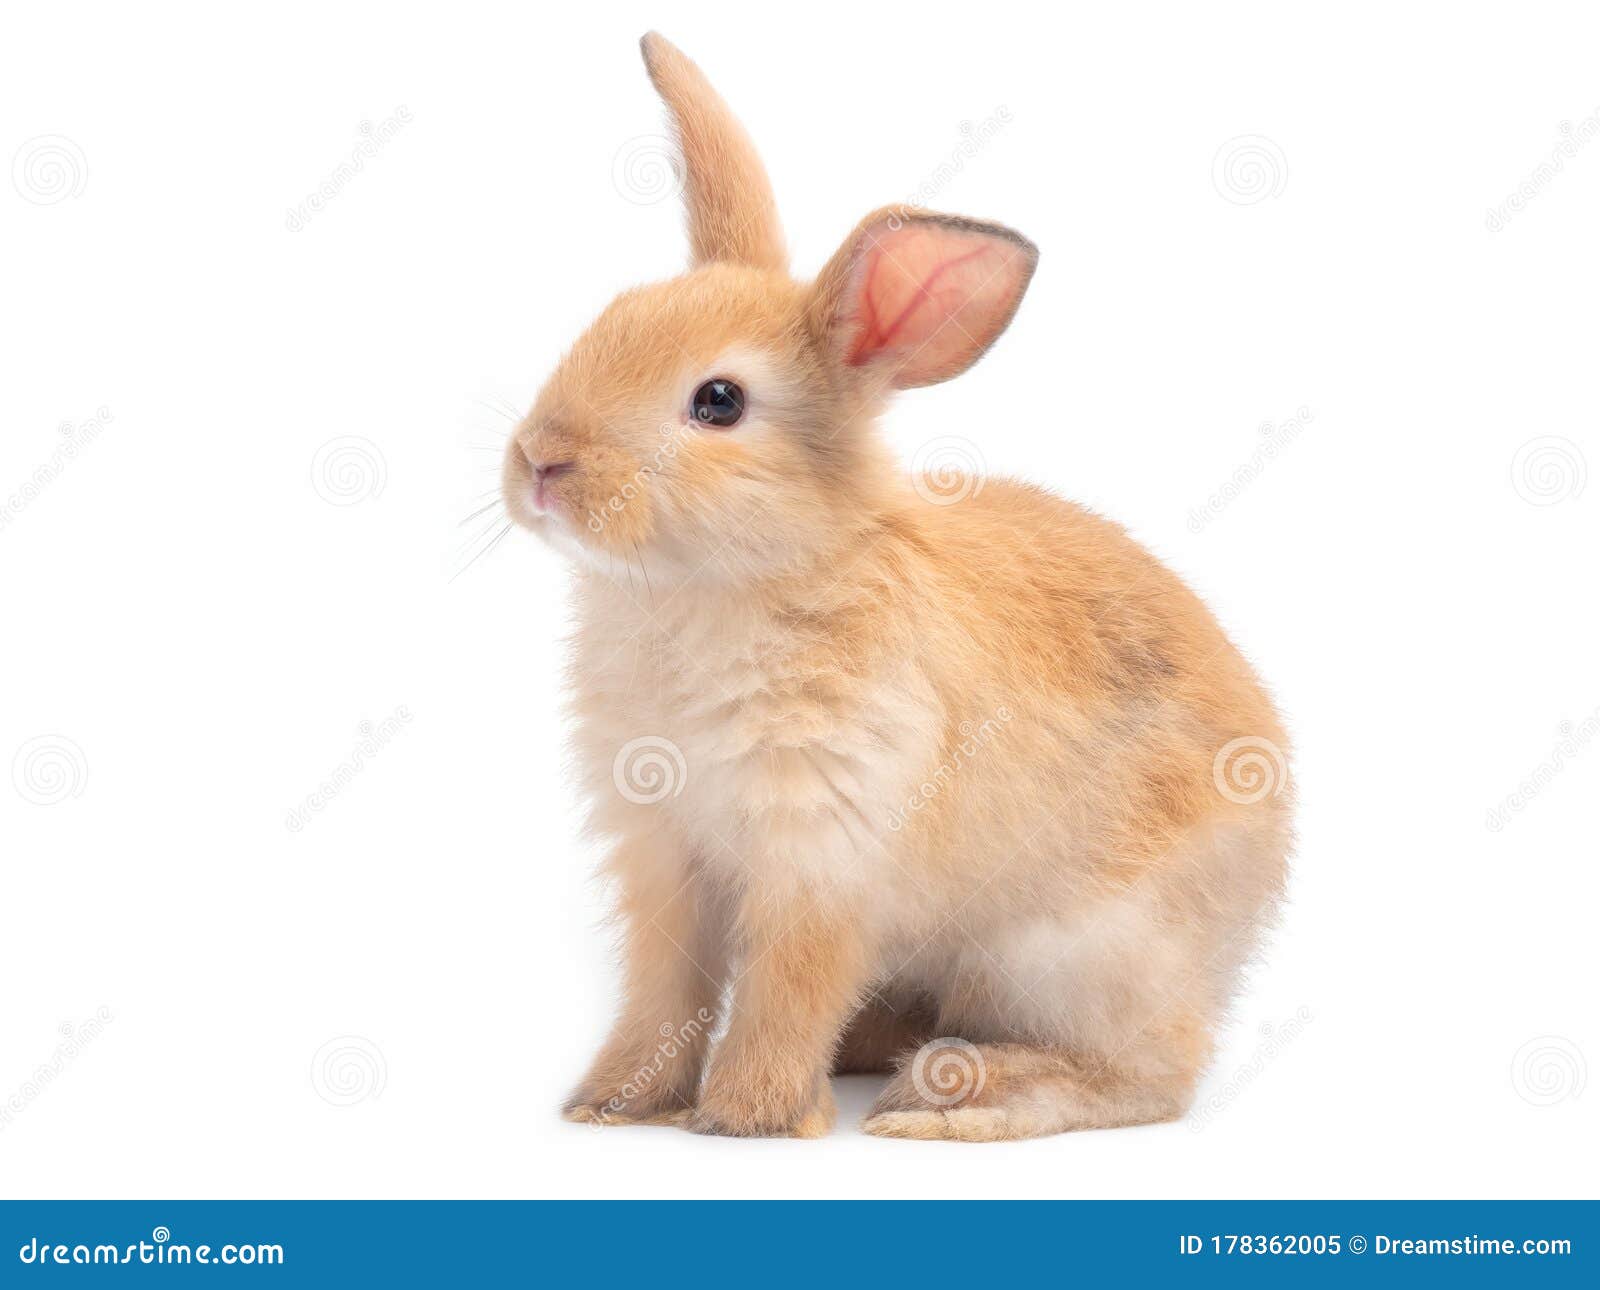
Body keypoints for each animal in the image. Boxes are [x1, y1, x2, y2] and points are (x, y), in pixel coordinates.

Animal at [501, 32, 1292, 1141]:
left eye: (718, 401)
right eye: (607, 320)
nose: (539, 461)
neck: (722, 586)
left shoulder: (822, 860)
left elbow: (786, 992)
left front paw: (743, 1119)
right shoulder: (664, 859)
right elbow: (665, 994)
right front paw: (612, 1103)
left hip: (1085, 951)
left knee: (1153, 1075)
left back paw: (952, 1096)